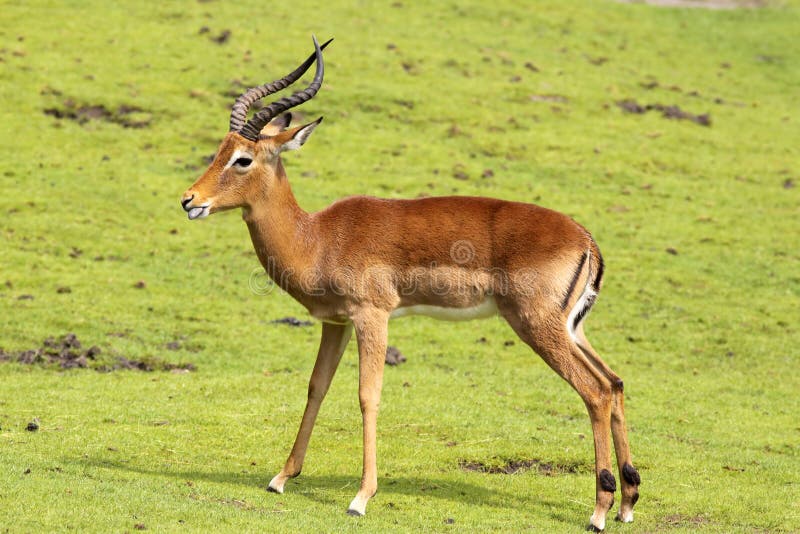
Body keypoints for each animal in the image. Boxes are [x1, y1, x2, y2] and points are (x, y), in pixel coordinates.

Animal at [181, 36, 640, 531]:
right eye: (219, 149)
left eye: (242, 159)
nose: (189, 200)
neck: (317, 237)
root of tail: (587, 240)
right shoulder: (336, 323)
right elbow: (316, 387)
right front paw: (282, 478)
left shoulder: (372, 315)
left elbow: (368, 396)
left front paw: (361, 497)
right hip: (572, 328)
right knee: (614, 383)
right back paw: (627, 502)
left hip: (536, 325)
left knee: (595, 391)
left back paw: (599, 510)